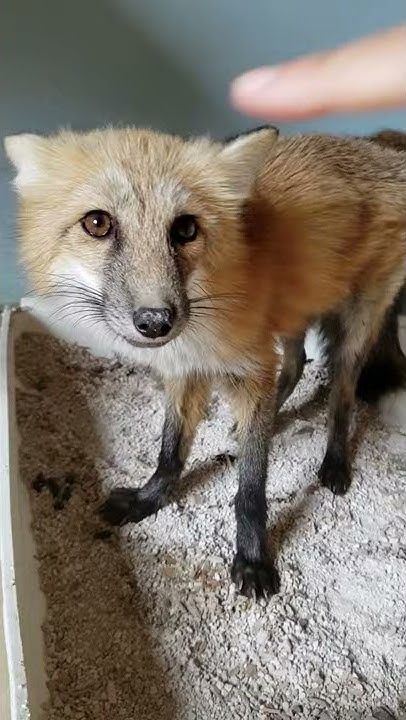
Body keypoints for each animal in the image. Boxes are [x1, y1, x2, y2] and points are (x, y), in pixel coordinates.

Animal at [4, 125, 406, 599]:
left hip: (354, 327)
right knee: (296, 363)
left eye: (185, 229)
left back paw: (334, 461)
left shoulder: (251, 369)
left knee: (341, 395)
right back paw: (272, 417)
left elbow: (250, 490)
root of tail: (383, 148)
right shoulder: (186, 372)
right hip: (293, 312)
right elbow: (170, 452)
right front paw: (148, 500)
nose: (155, 322)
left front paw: (252, 557)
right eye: (97, 224)